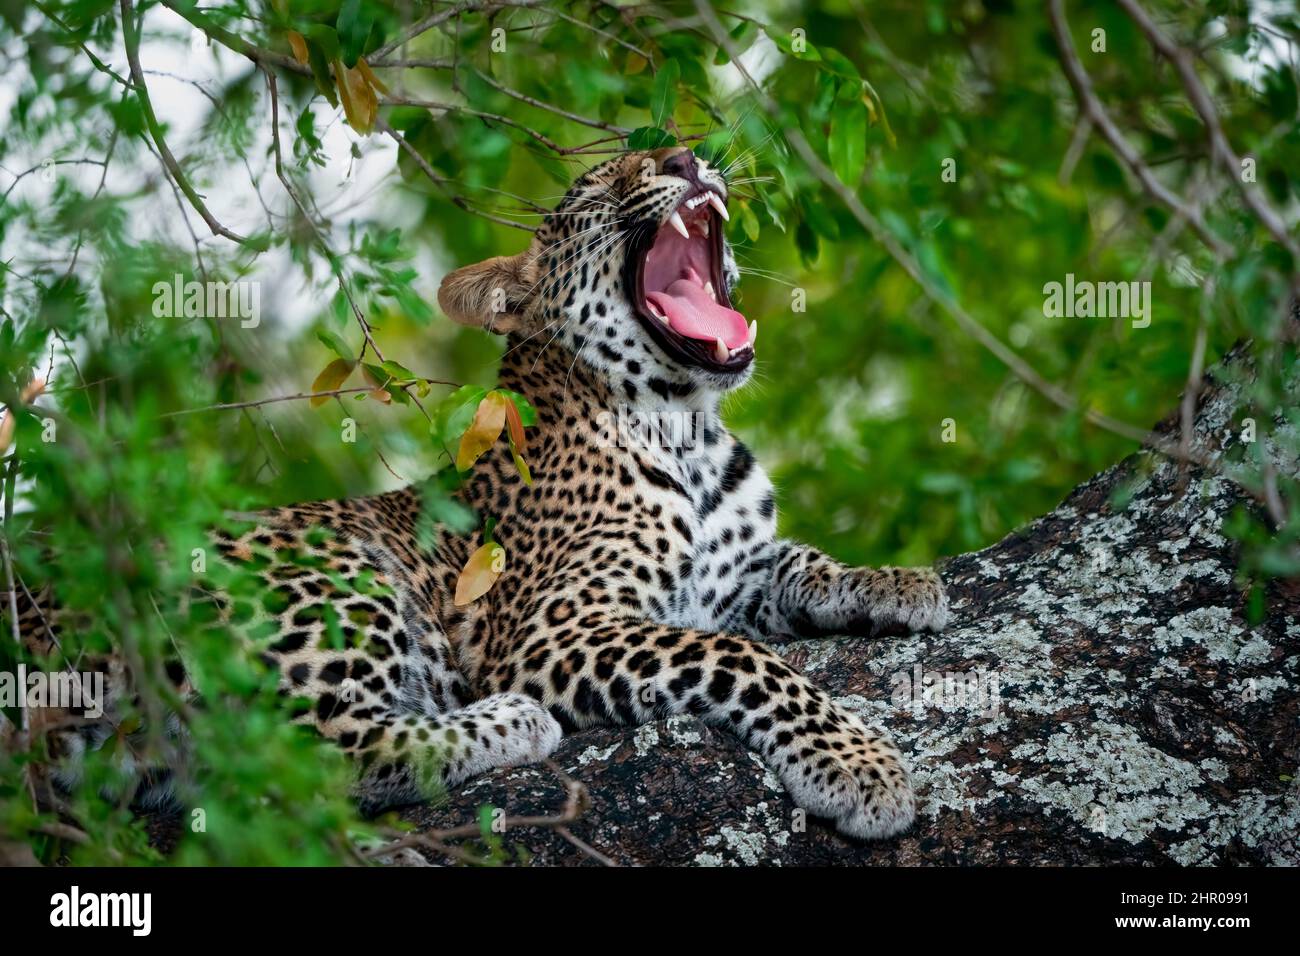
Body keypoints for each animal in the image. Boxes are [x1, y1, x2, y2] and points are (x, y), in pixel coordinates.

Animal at [8, 146, 948, 841]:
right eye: (598, 185)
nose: (688, 156)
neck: (688, 430)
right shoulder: (550, 628)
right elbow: (742, 659)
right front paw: (859, 765)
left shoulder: (733, 573)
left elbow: (798, 561)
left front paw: (897, 584)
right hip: (327, 576)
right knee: (301, 758)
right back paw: (508, 724)